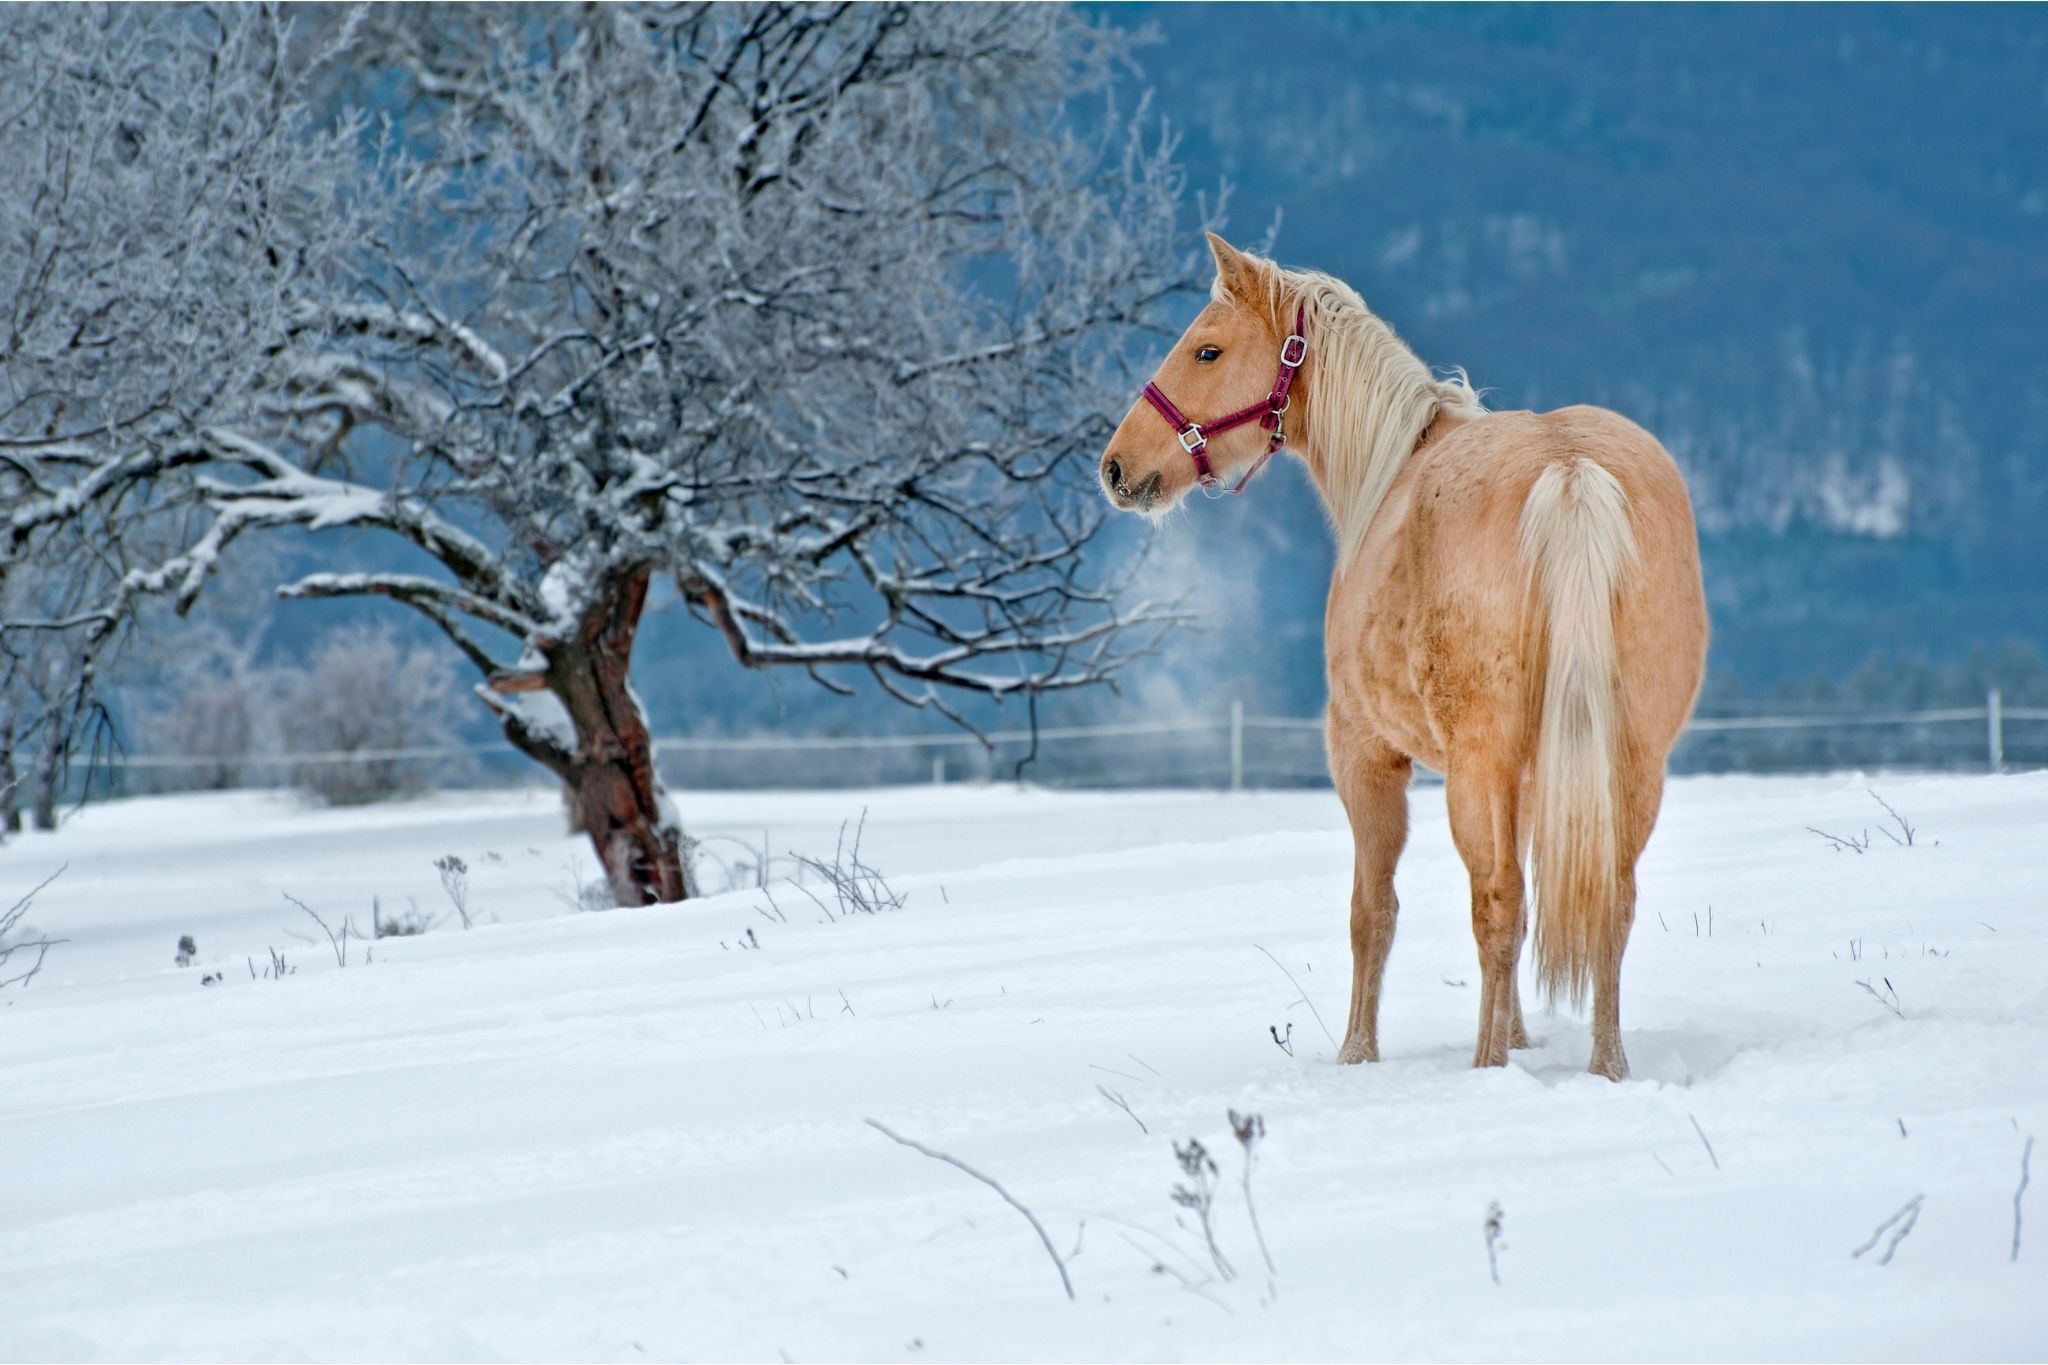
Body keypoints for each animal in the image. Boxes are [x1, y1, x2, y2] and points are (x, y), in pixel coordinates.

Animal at [1099, 233, 1707, 1080]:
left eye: (1207, 349)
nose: (1118, 467)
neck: (1391, 475)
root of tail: (1571, 470)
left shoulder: (1365, 753)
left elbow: (1372, 910)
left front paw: (1357, 1052)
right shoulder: (1528, 777)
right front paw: (1522, 1034)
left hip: (1475, 768)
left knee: (1495, 903)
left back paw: (1487, 1067)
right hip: (1633, 761)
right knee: (1607, 900)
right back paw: (1604, 1066)